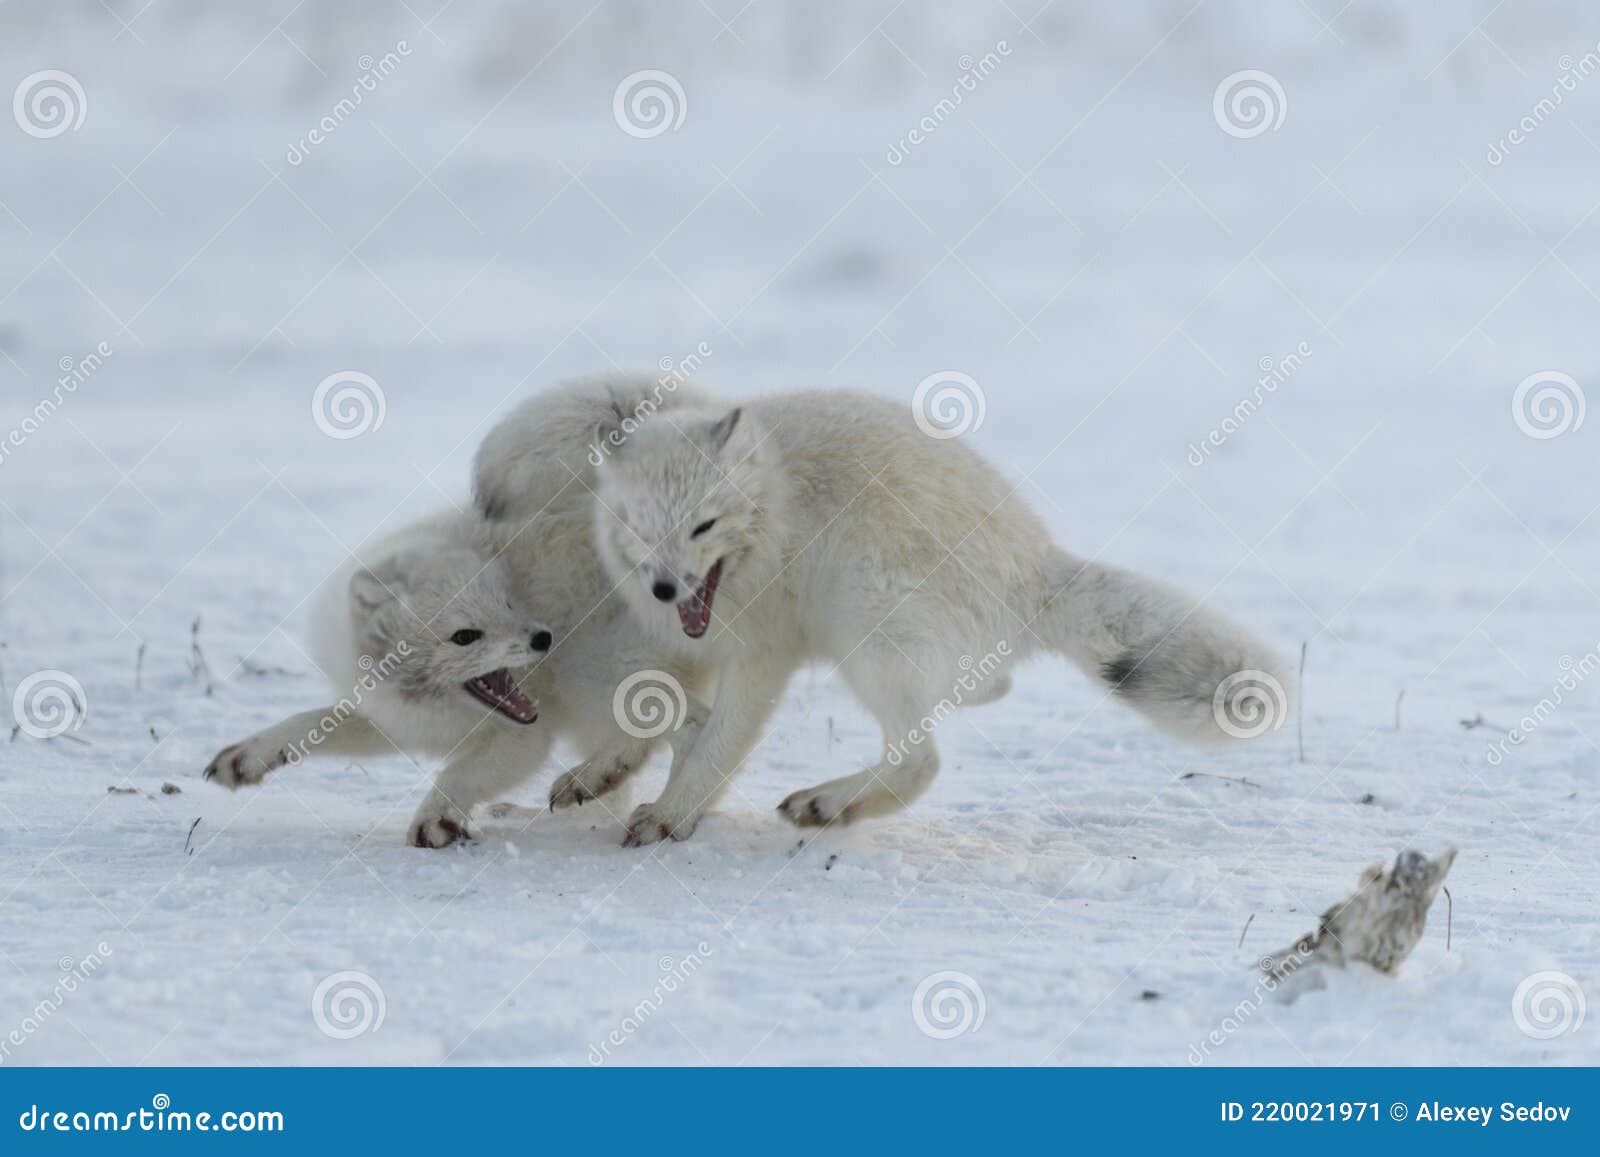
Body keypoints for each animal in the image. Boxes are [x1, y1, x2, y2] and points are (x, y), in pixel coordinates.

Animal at [204, 373, 714, 847]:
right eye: (465, 636)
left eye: (507, 602)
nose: (542, 639)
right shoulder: (395, 717)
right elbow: (312, 722)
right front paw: (246, 756)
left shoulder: (526, 733)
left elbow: (456, 775)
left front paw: (434, 819)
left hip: (595, 669)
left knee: (689, 724)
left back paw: (652, 805)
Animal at [561, 386, 1295, 846]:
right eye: (639, 529)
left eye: (704, 526)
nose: (664, 587)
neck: (776, 505)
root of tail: (1035, 566)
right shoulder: (683, 643)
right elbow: (656, 710)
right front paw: (602, 772)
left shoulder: (764, 652)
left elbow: (719, 743)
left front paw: (672, 815)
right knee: (980, 692)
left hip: (866, 628)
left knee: (922, 761)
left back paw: (828, 802)